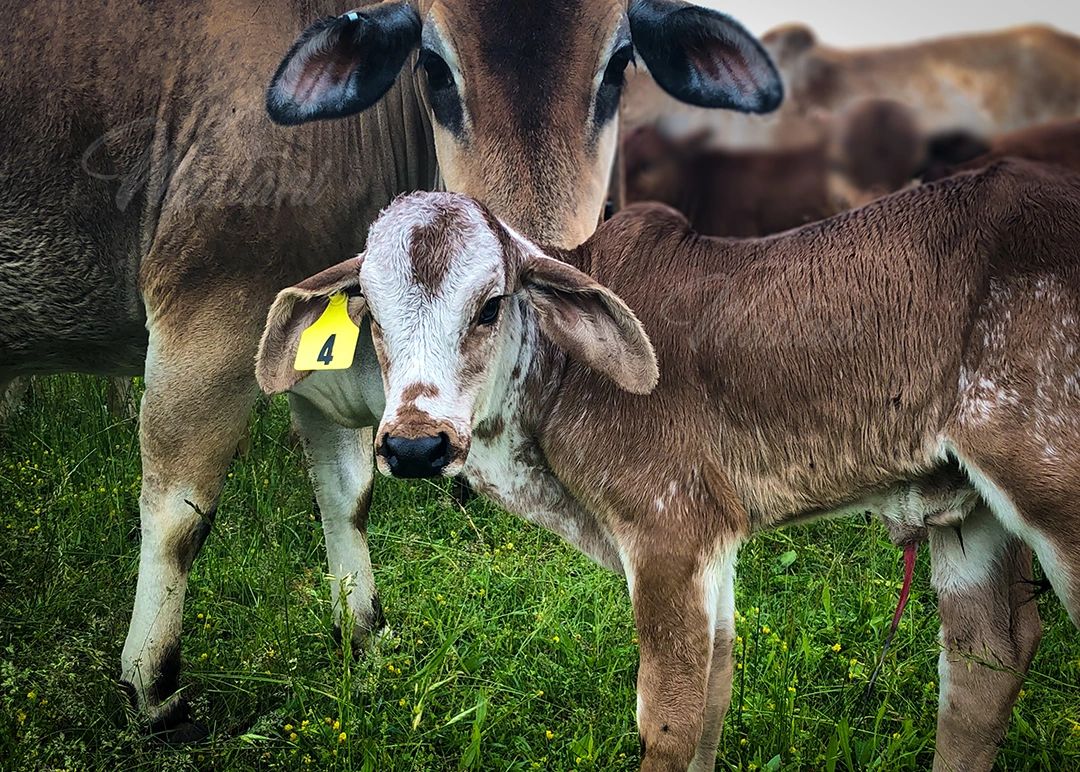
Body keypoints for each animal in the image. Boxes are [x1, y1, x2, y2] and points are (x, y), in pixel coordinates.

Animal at [0, 0, 785, 741]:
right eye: (432, 67)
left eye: (621, 60)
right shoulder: (206, 316)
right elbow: (178, 515)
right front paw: (153, 687)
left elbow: (347, 497)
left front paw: (366, 640)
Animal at [257, 161, 1080, 770]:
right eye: (369, 312)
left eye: (490, 305)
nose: (414, 446)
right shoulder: (711, 540)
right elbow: (713, 694)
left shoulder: (665, 531)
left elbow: (670, 722)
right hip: (969, 513)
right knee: (985, 664)